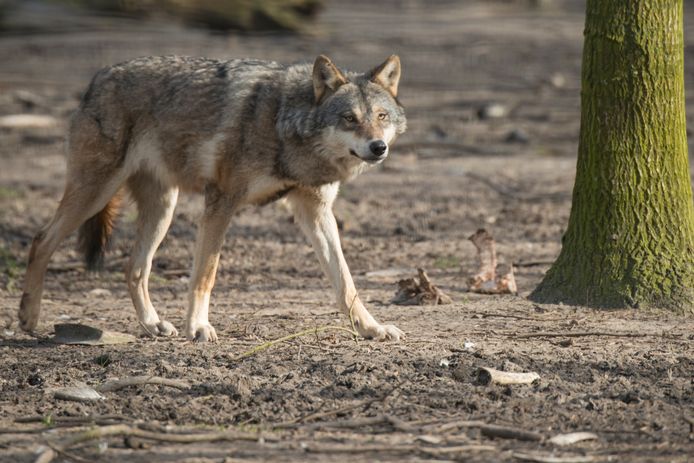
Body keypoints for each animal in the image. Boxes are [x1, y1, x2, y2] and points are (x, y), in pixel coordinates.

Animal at [18, 54, 407, 342]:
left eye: (381, 116)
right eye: (349, 118)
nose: (378, 147)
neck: (284, 124)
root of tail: (97, 77)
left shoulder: (315, 211)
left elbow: (346, 283)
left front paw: (371, 328)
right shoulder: (221, 202)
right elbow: (206, 273)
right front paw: (199, 327)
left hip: (162, 209)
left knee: (134, 267)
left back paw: (152, 324)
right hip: (96, 194)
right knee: (41, 240)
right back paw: (29, 318)